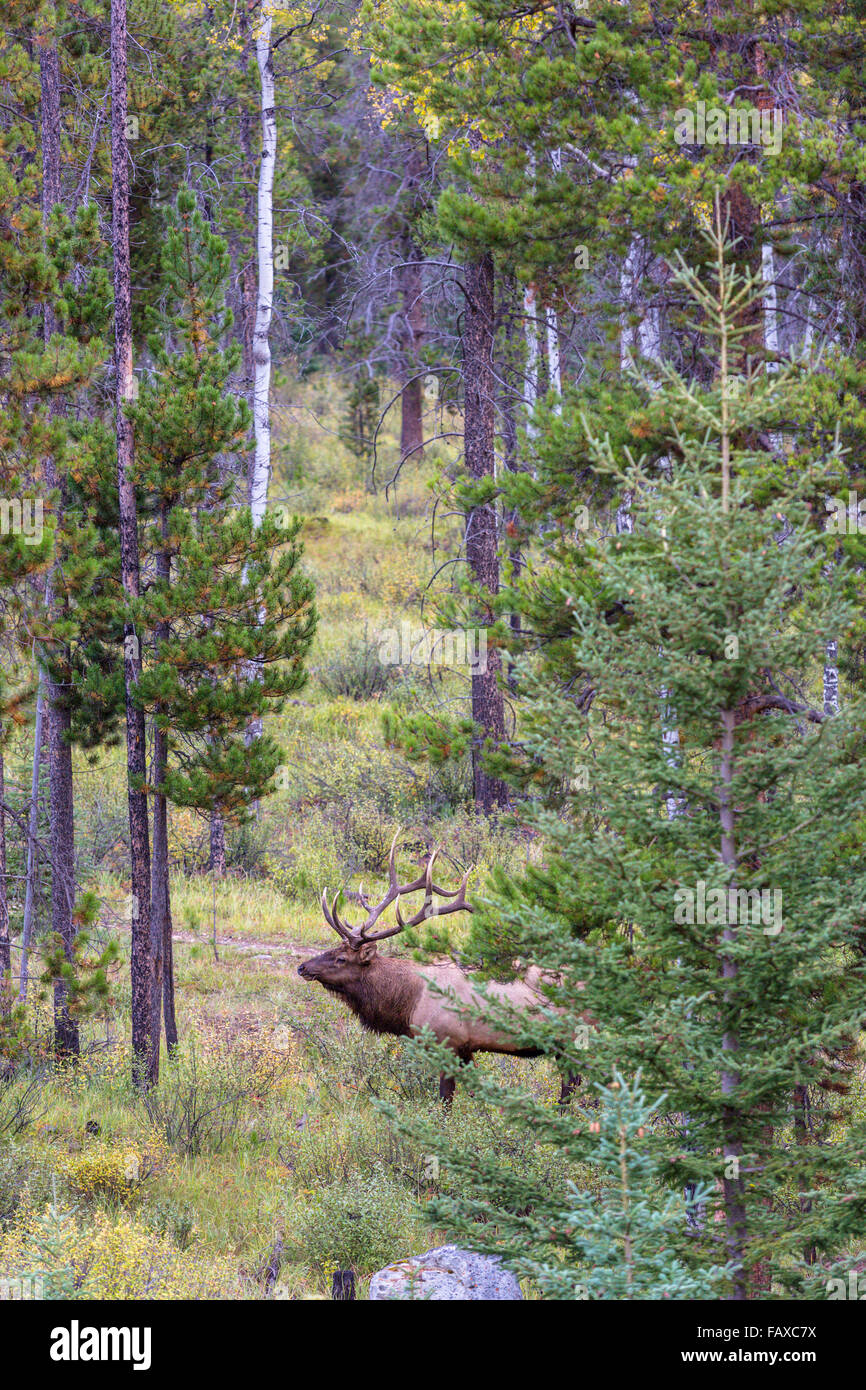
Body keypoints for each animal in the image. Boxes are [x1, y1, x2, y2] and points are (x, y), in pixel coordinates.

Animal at [296, 833, 582, 1105]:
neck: (409, 1003)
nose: (302, 967)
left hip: (571, 1039)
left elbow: (446, 1100)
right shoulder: (466, 1048)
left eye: (341, 958)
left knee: (572, 1085)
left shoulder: (448, 1042)